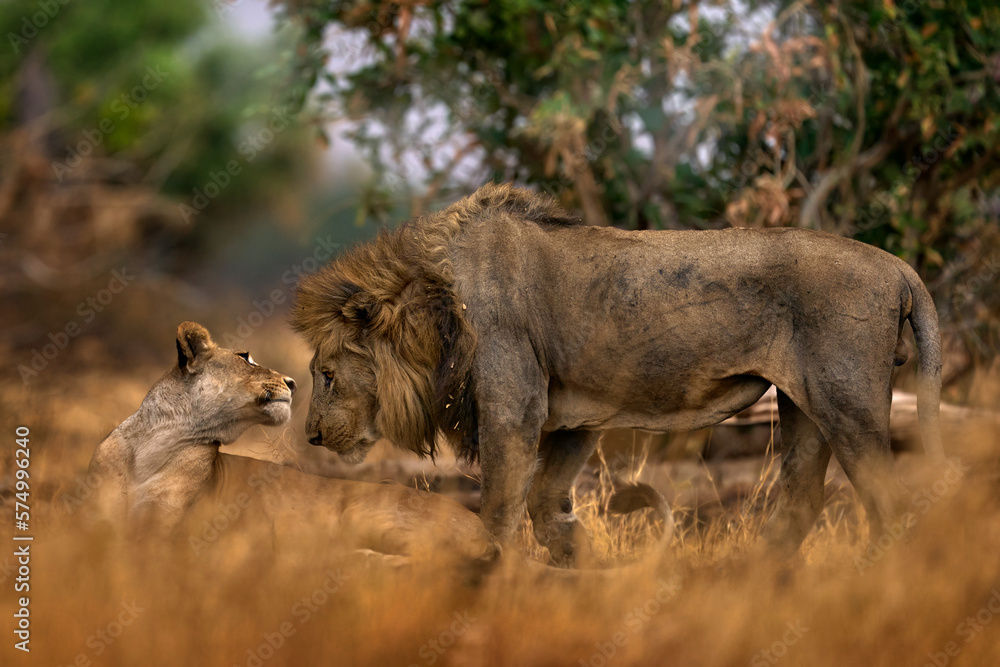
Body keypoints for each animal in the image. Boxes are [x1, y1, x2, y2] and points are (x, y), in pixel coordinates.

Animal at [290, 183, 943, 565]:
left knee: (892, 502)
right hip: (803, 404)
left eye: (326, 374)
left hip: (847, 403)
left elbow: (498, 510)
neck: (437, 310)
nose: (313, 437)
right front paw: (584, 570)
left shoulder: (513, 408)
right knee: (803, 499)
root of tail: (896, 266)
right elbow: (546, 507)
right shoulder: (575, 417)